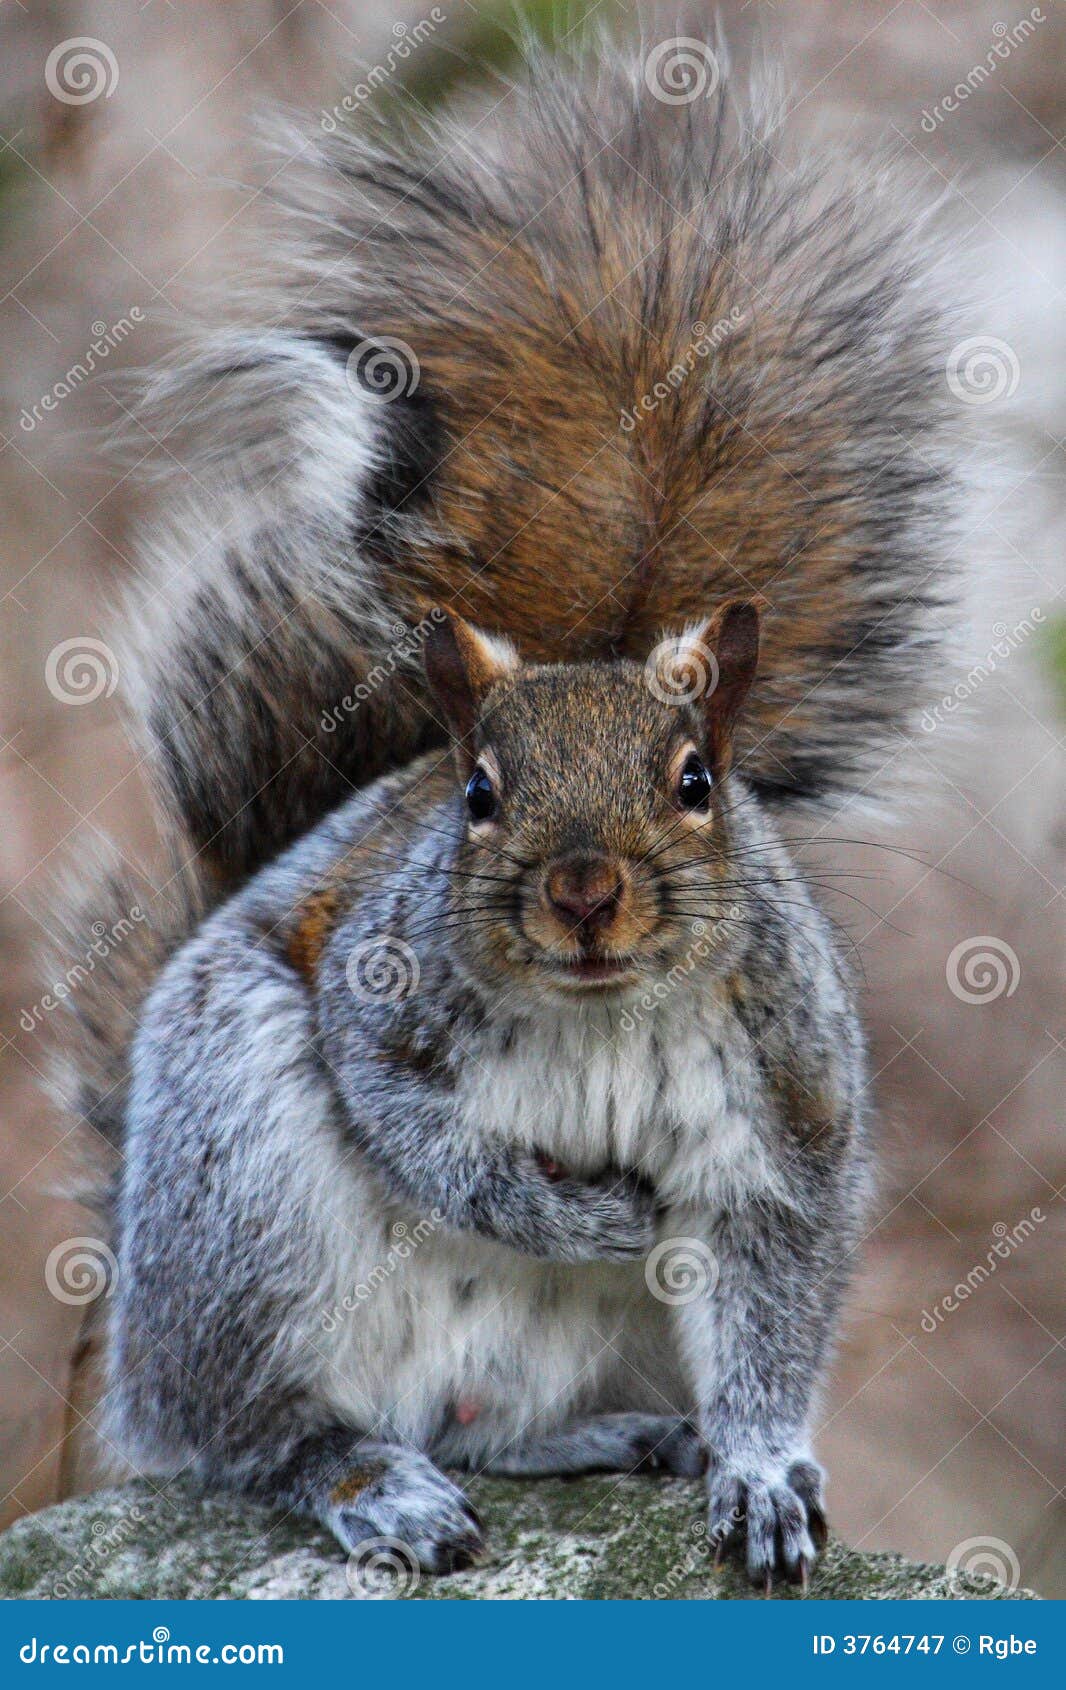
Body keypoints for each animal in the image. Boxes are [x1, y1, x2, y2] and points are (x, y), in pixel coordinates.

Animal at [54, 44, 958, 1588]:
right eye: (479, 791)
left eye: (697, 782)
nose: (585, 892)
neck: (598, 1009)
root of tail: (138, 1344)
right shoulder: (381, 999)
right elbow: (427, 1140)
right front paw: (579, 1209)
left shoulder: (790, 1096)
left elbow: (776, 1285)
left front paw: (762, 1470)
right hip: (240, 1176)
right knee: (264, 1436)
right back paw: (371, 1483)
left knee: (485, 1429)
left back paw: (624, 1438)